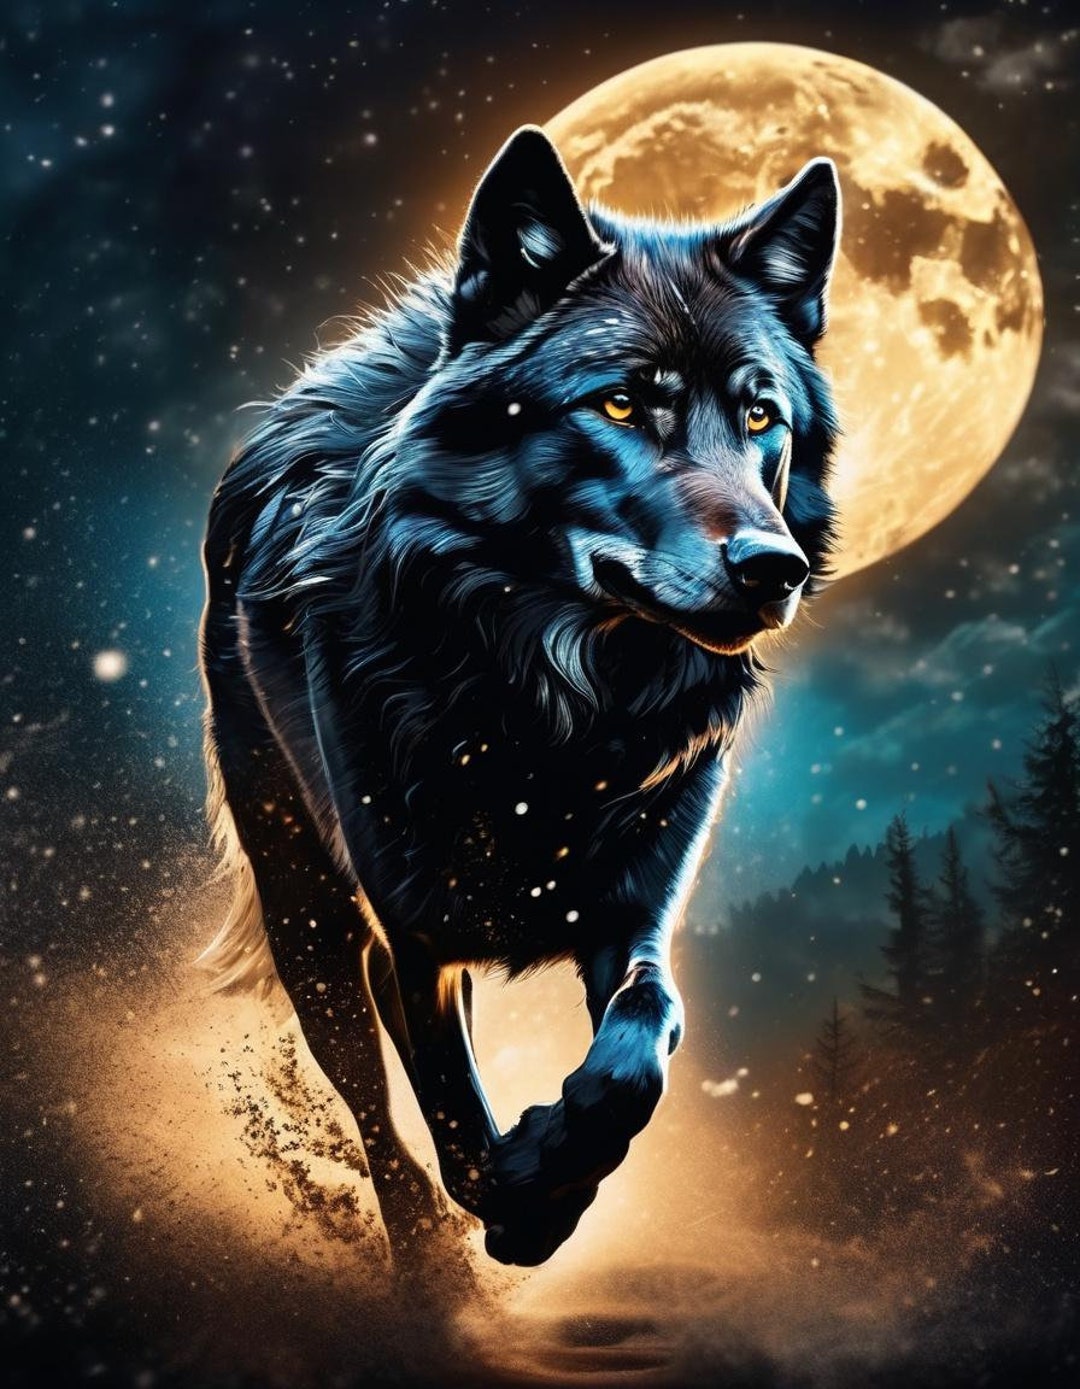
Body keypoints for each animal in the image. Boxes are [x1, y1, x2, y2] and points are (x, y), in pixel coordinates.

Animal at [199, 126, 839, 1268]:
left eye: (762, 414)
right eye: (622, 402)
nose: (774, 568)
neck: (558, 712)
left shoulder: (636, 916)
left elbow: (639, 1050)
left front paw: (557, 1167)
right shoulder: (418, 938)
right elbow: (454, 1122)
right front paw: (520, 1198)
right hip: (308, 917)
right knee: (375, 1114)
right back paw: (429, 1270)